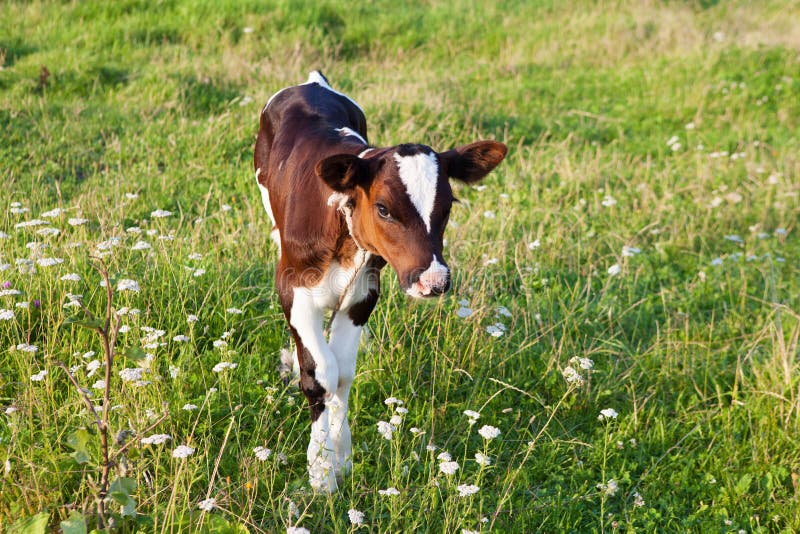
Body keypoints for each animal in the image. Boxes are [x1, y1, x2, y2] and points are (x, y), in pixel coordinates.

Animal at [254, 70, 507, 492]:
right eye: (384, 208)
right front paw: (321, 472)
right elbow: (320, 373)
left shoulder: (364, 293)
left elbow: (342, 371)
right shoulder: (292, 286)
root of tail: (311, 83)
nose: (434, 281)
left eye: (448, 206)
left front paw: (341, 458)